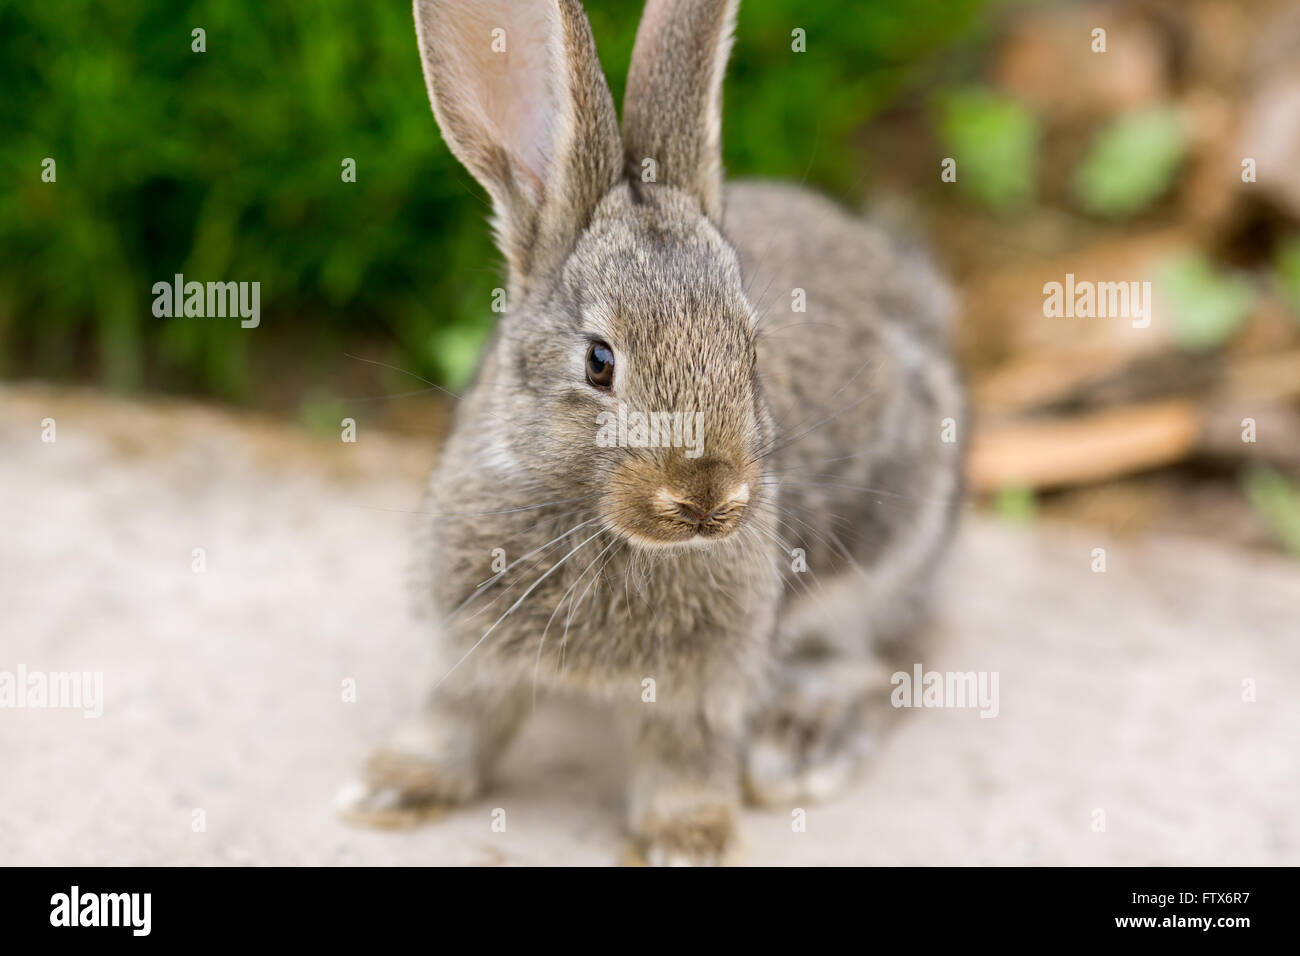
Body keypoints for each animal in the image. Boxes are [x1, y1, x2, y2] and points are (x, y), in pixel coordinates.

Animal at [339, 0, 965, 865]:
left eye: (749, 349)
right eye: (599, 362)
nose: (707, 497)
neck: (606, 532)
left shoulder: (705, 683)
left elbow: (684, 756)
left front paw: (687, 839)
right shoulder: (469, 648)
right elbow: (457, 717)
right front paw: (395, 787)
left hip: (897, 543)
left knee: (894, 660)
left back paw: (802, 741)